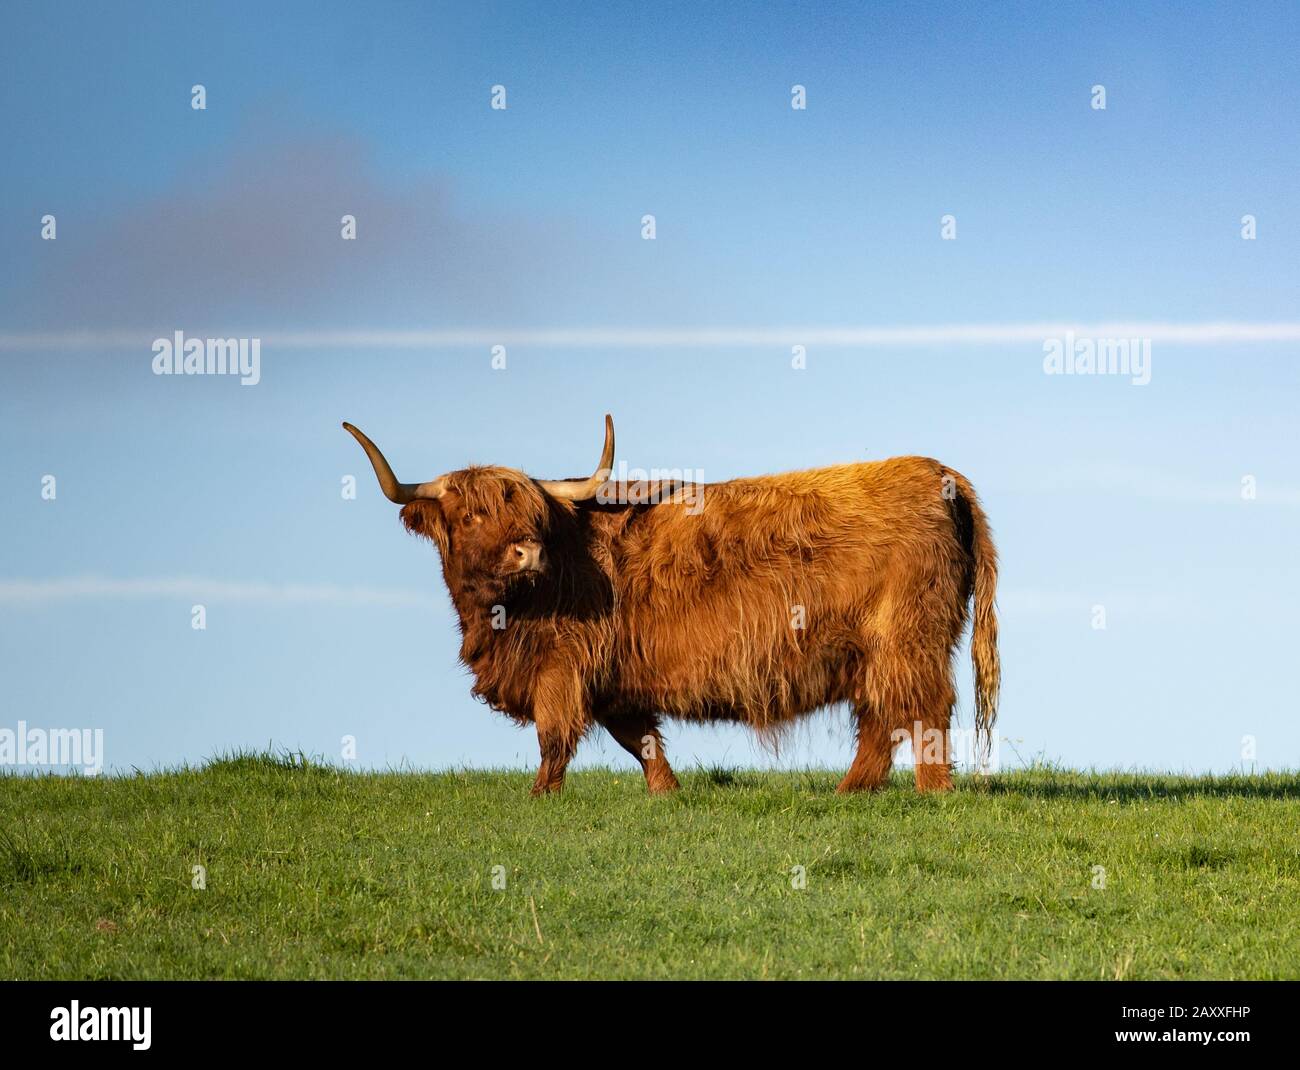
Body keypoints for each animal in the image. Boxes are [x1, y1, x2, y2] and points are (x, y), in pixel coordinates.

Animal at [342, 415, 999, 796]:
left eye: (530, 515)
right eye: (471, 515)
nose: (527, 551)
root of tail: (939, 473)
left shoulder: (562, 666)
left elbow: (556, 737)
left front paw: (540, 797)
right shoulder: (613, 676)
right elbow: (640, 738)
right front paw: (668, 792)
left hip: (908, 637)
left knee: (923, 710)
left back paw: (933, 791)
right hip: (872, 651)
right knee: (881, 717)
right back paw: (850, 791)